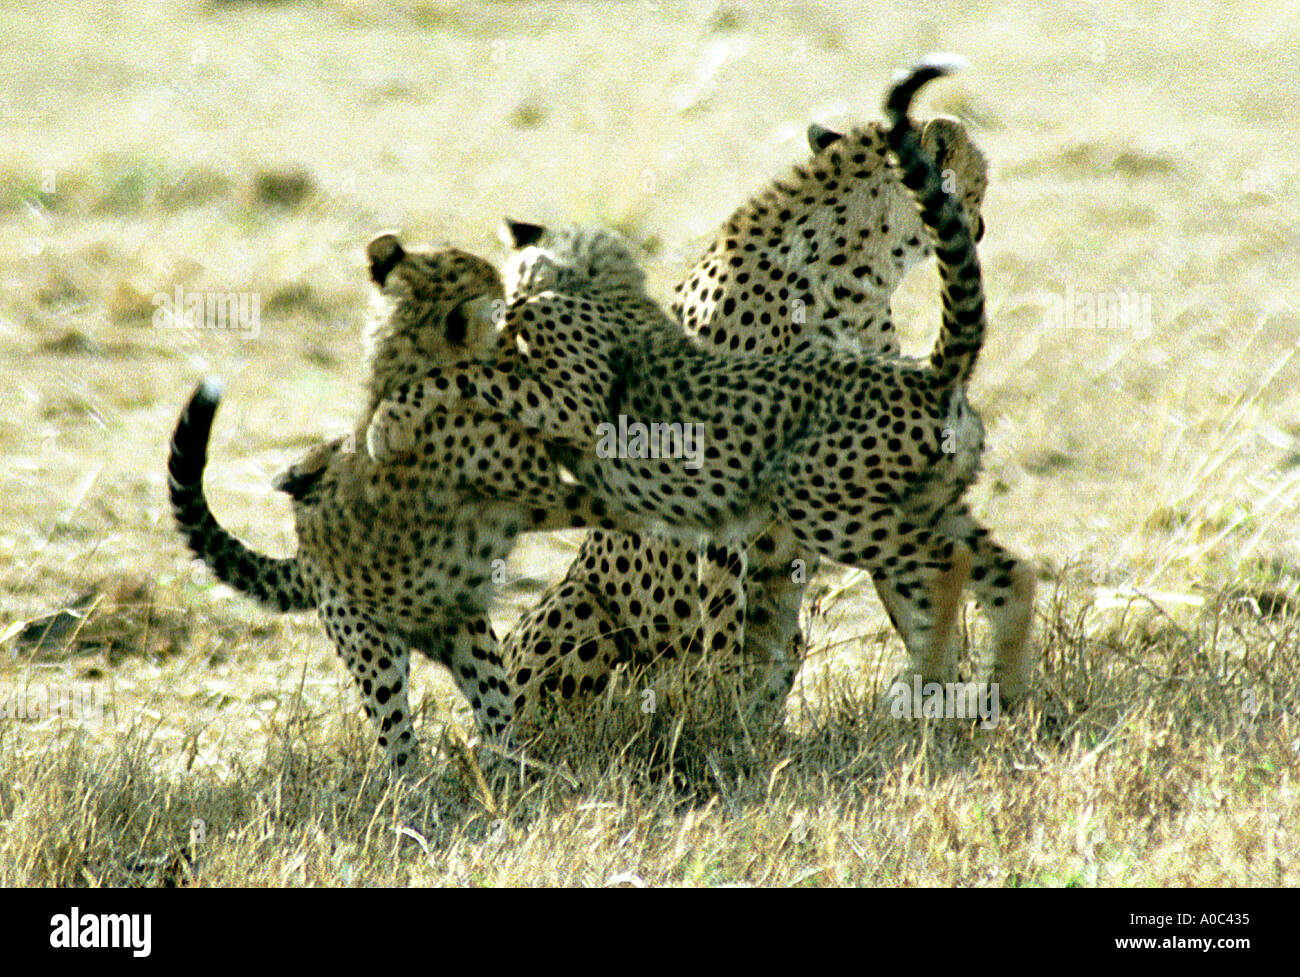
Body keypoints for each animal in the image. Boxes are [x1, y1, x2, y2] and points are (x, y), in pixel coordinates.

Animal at [167, 234, 633, 771]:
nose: (511, 295)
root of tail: (305, 559)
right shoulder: (538, 493)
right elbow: (608, 495)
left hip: (468, 637)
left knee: (495, 708)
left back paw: (510, 769)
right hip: (374, 648)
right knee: (395, 735)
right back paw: (416, 782)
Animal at [366, 57, 1036, 718]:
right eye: (980, 182)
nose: (980, 224)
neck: (853, 277)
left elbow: (909, 599)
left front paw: (942, 690)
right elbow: (722, 608)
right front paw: (722, 695)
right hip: (582, 607)